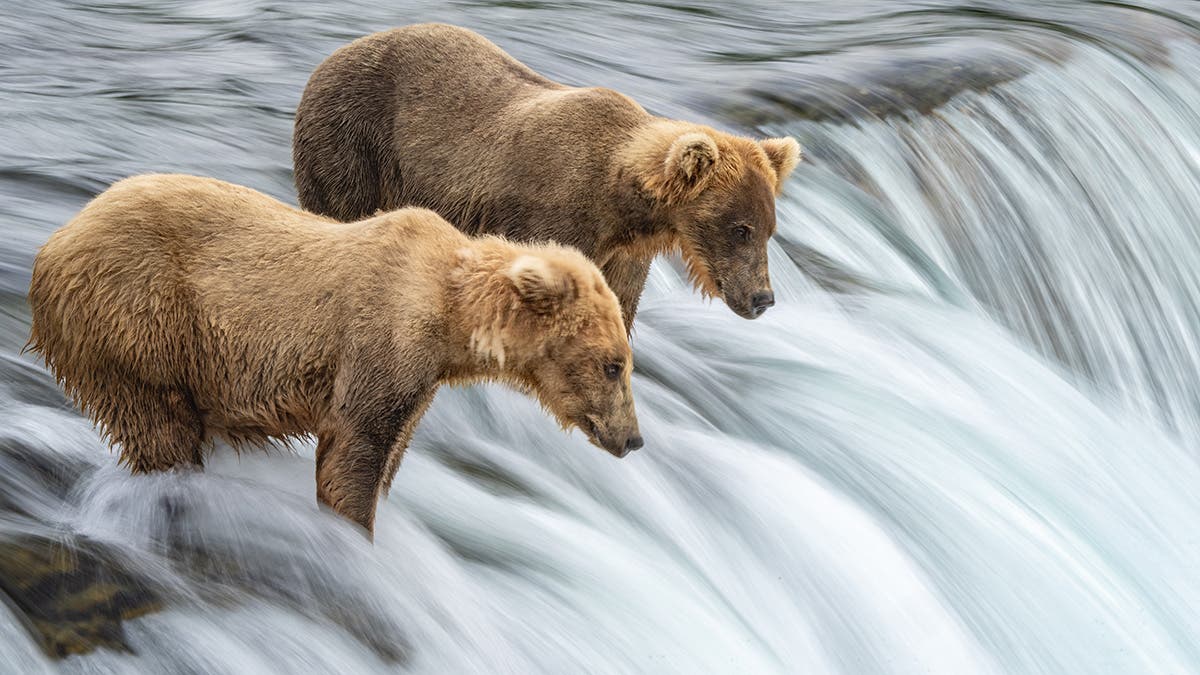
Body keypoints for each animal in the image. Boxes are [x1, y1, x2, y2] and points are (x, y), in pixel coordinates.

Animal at [27, 174, 641, 535]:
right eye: (614, 365)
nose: (634, 438)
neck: (449, 318)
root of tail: (54, 241)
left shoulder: (419, 380)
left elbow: (390, 451)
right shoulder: (379, 341)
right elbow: (354, 450)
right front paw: (353, 530)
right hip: (136, 321)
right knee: (160, 427)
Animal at [292, 23, 802, 330]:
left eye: (770, 230)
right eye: (740, 228)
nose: (763, 297)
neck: (620, 205)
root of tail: (330, 55)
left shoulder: (624, 255)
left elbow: (620, 303)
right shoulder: (549, 217)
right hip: (351, 142)